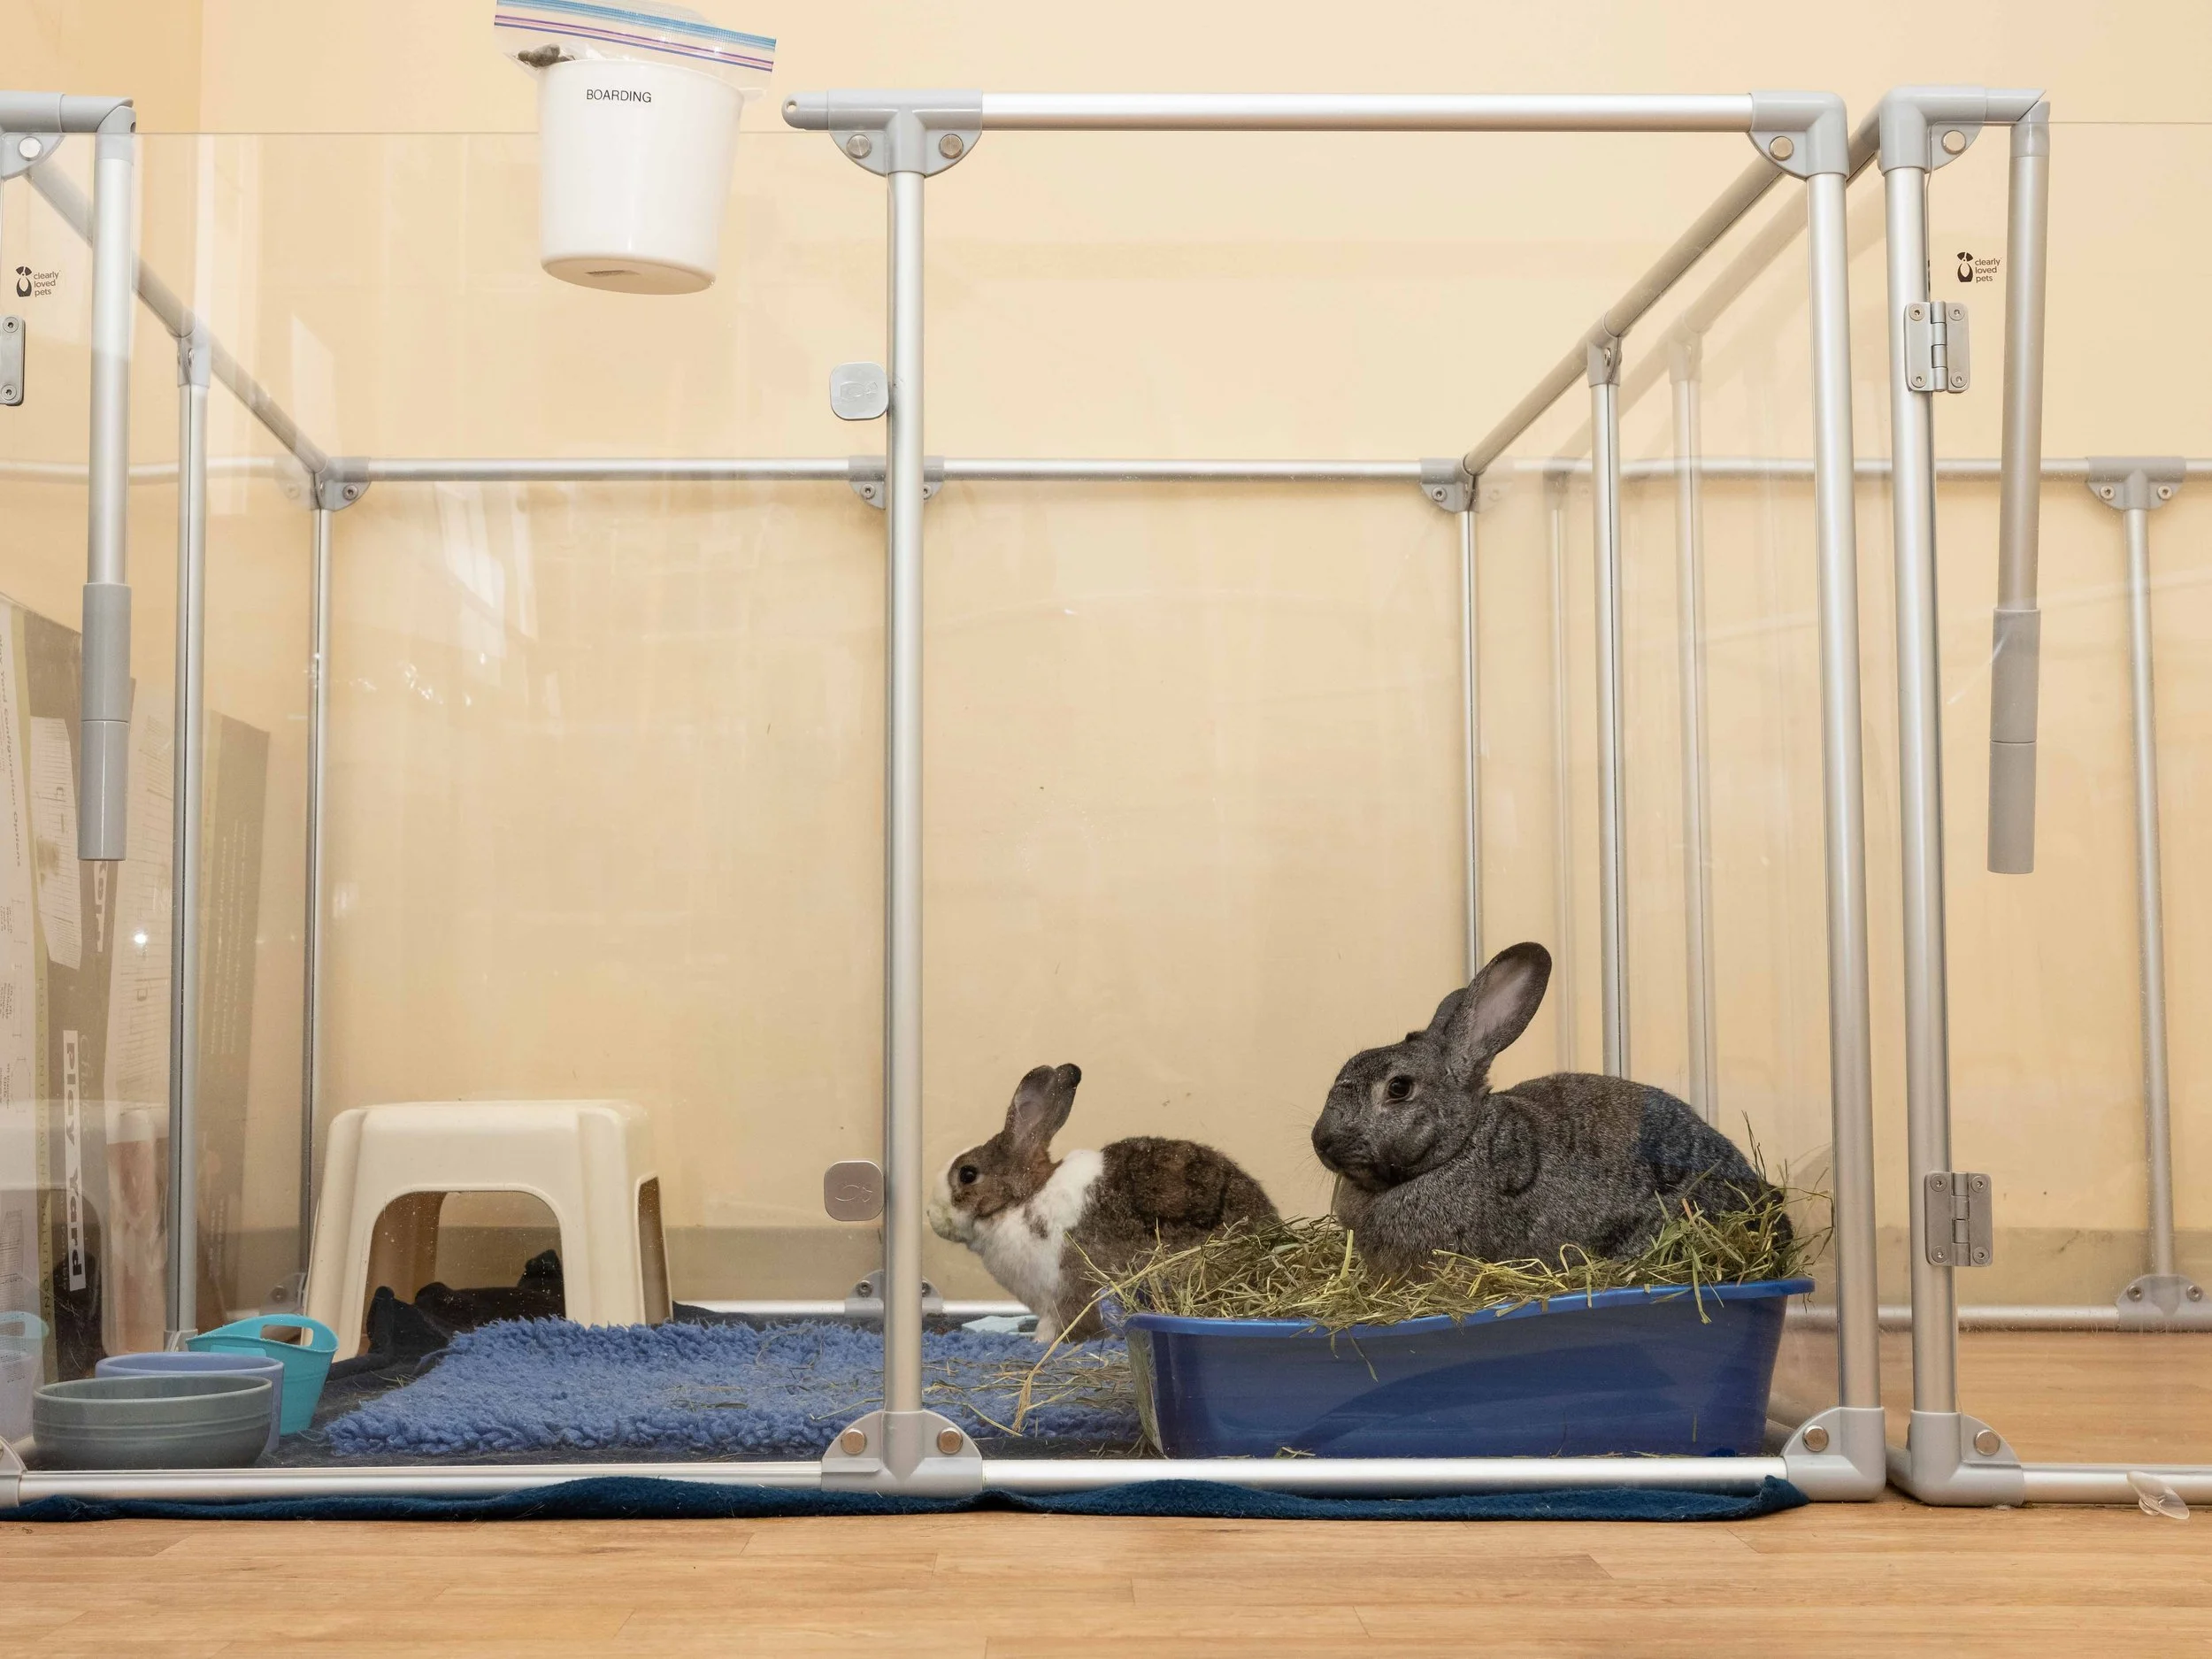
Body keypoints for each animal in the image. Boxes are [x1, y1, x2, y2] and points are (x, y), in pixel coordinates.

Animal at [928, 1062, 1277, 1342]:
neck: (1023, 1199)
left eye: (968, 1174)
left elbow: (1063, 1323)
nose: (931, 1216)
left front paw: (1040, 1341)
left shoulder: (1066, 1290)